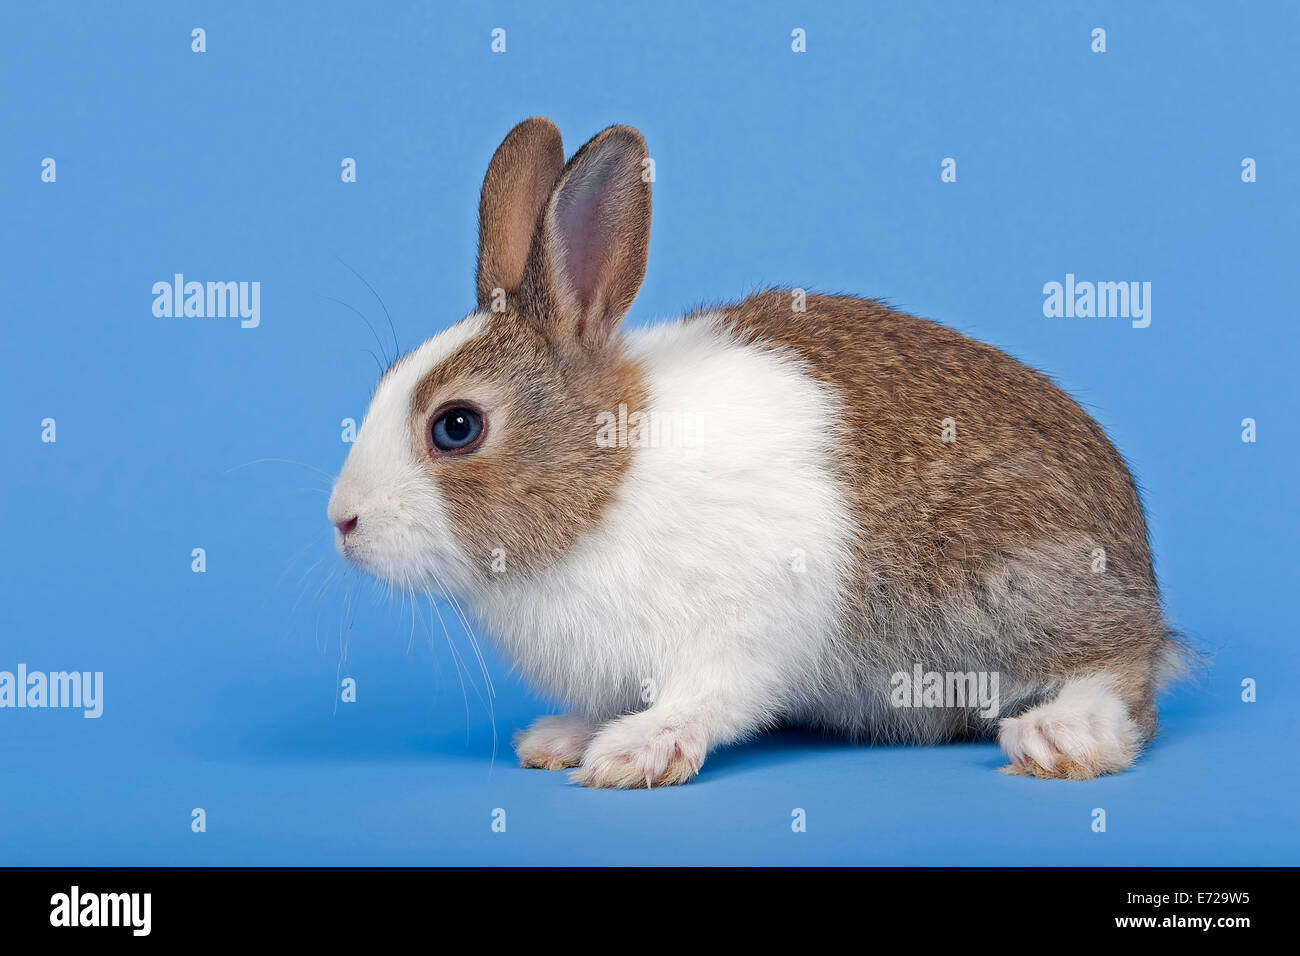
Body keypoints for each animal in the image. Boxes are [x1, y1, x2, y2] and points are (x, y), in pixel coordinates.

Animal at [327, 116, 1187, 788]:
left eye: (456, 427)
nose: (342, 522)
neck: (606, 483)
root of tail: (1143, 579)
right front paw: (562, 737)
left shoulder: (741, 625)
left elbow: (711, 694)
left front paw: (636, 752)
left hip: (1007, 584)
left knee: (1123, 675)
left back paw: (1061, 736)